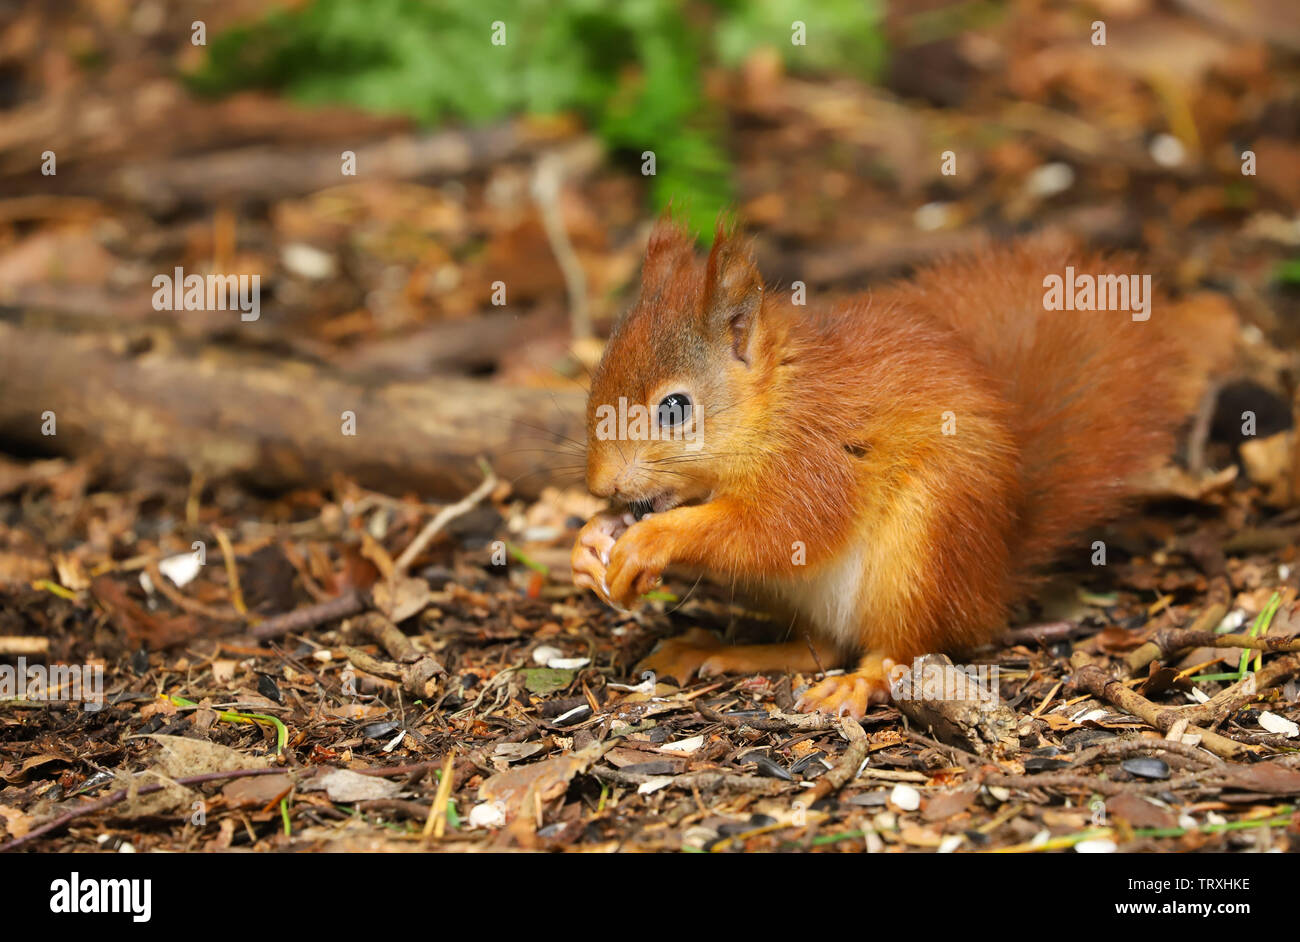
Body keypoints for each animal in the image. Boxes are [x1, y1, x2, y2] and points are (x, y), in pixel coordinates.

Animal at [571, 216, 1203, 718]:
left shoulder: (817, 462)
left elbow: (774, 530)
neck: (775, 405)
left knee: (898, 651)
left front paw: (652, 540)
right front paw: (589, 544)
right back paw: (718, 648)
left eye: (674, 408)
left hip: (921, 552)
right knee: (821, 645)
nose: (600, 484)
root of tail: (993, 581)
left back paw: (854, 683)